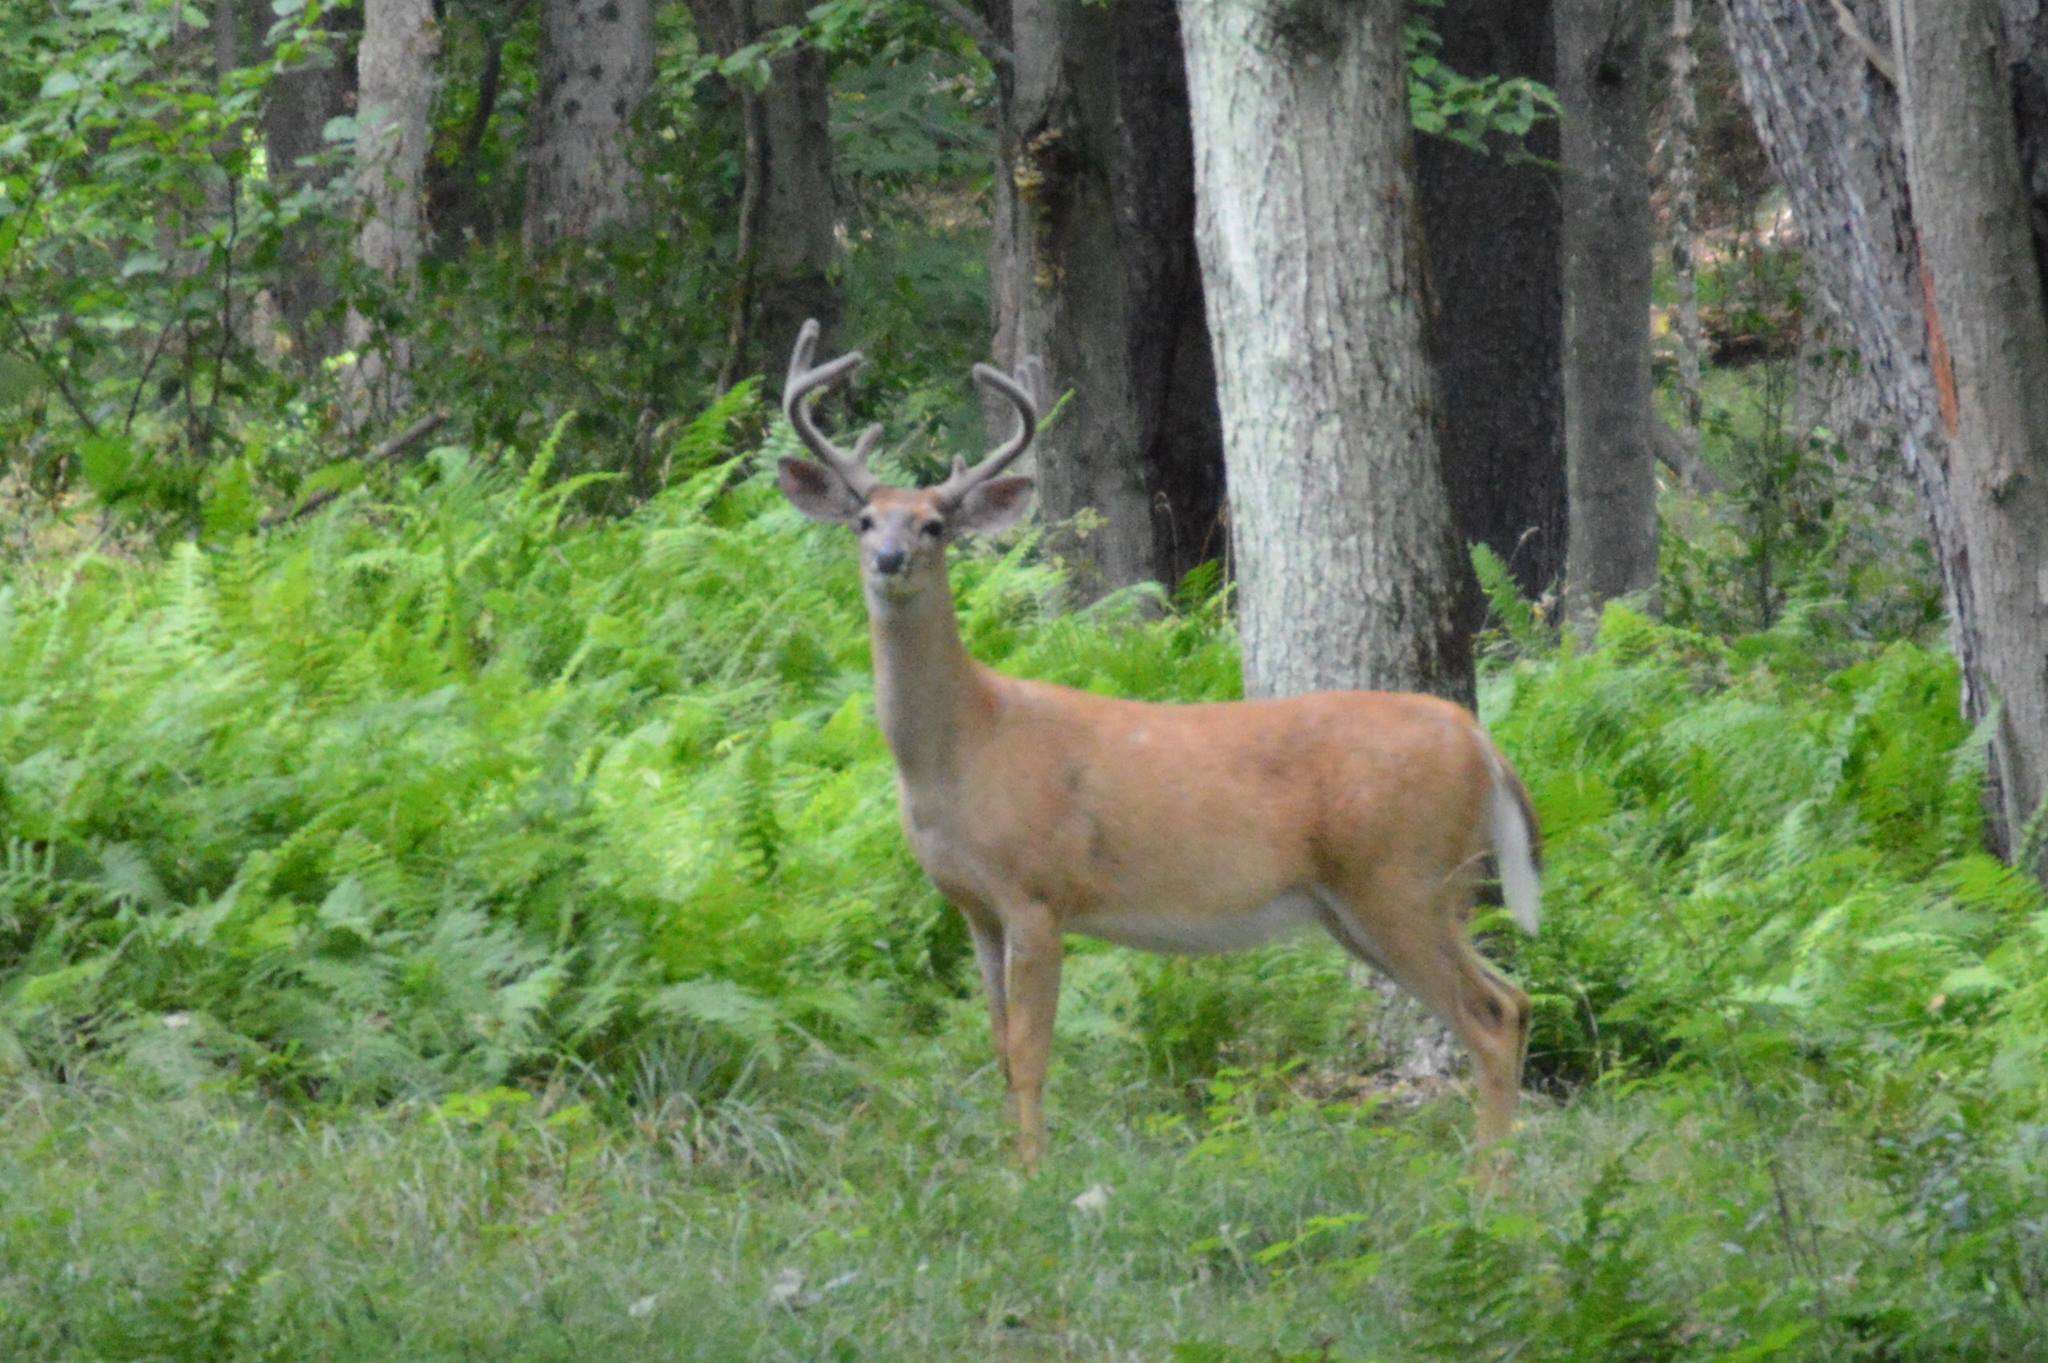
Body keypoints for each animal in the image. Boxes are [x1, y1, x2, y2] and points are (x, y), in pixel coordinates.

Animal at [774, 320, 1543, 1177]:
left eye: (935, 525)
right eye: (864, 520)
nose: (890, 561)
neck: (966, 745)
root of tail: (1481, 741)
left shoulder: (1038, 890)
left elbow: (1032, 1052)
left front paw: (1030, 1179)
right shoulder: (973, 905)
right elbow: (999, 1048)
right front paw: (1008, 1167)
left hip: (1403, 876)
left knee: (1491, 1013)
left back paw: (1484, 1186)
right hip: (1366, 901)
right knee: (1513, 1000)